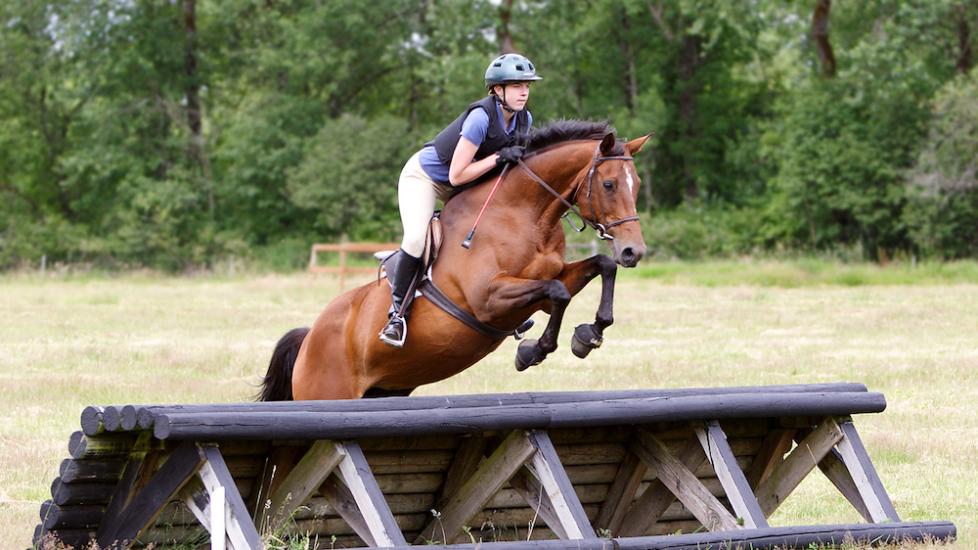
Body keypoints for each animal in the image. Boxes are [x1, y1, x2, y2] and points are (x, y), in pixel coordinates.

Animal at [259, 120, 650, 401]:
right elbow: (558, 292)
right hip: (329, 392)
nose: (633, 252)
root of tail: (309, 338)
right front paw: (533, 351)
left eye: (637, 183)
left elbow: (599, 268)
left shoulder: (542, 286)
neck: (524, 215)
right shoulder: (489, 300)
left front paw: (589, 334)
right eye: (610, 185)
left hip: (385, 389)